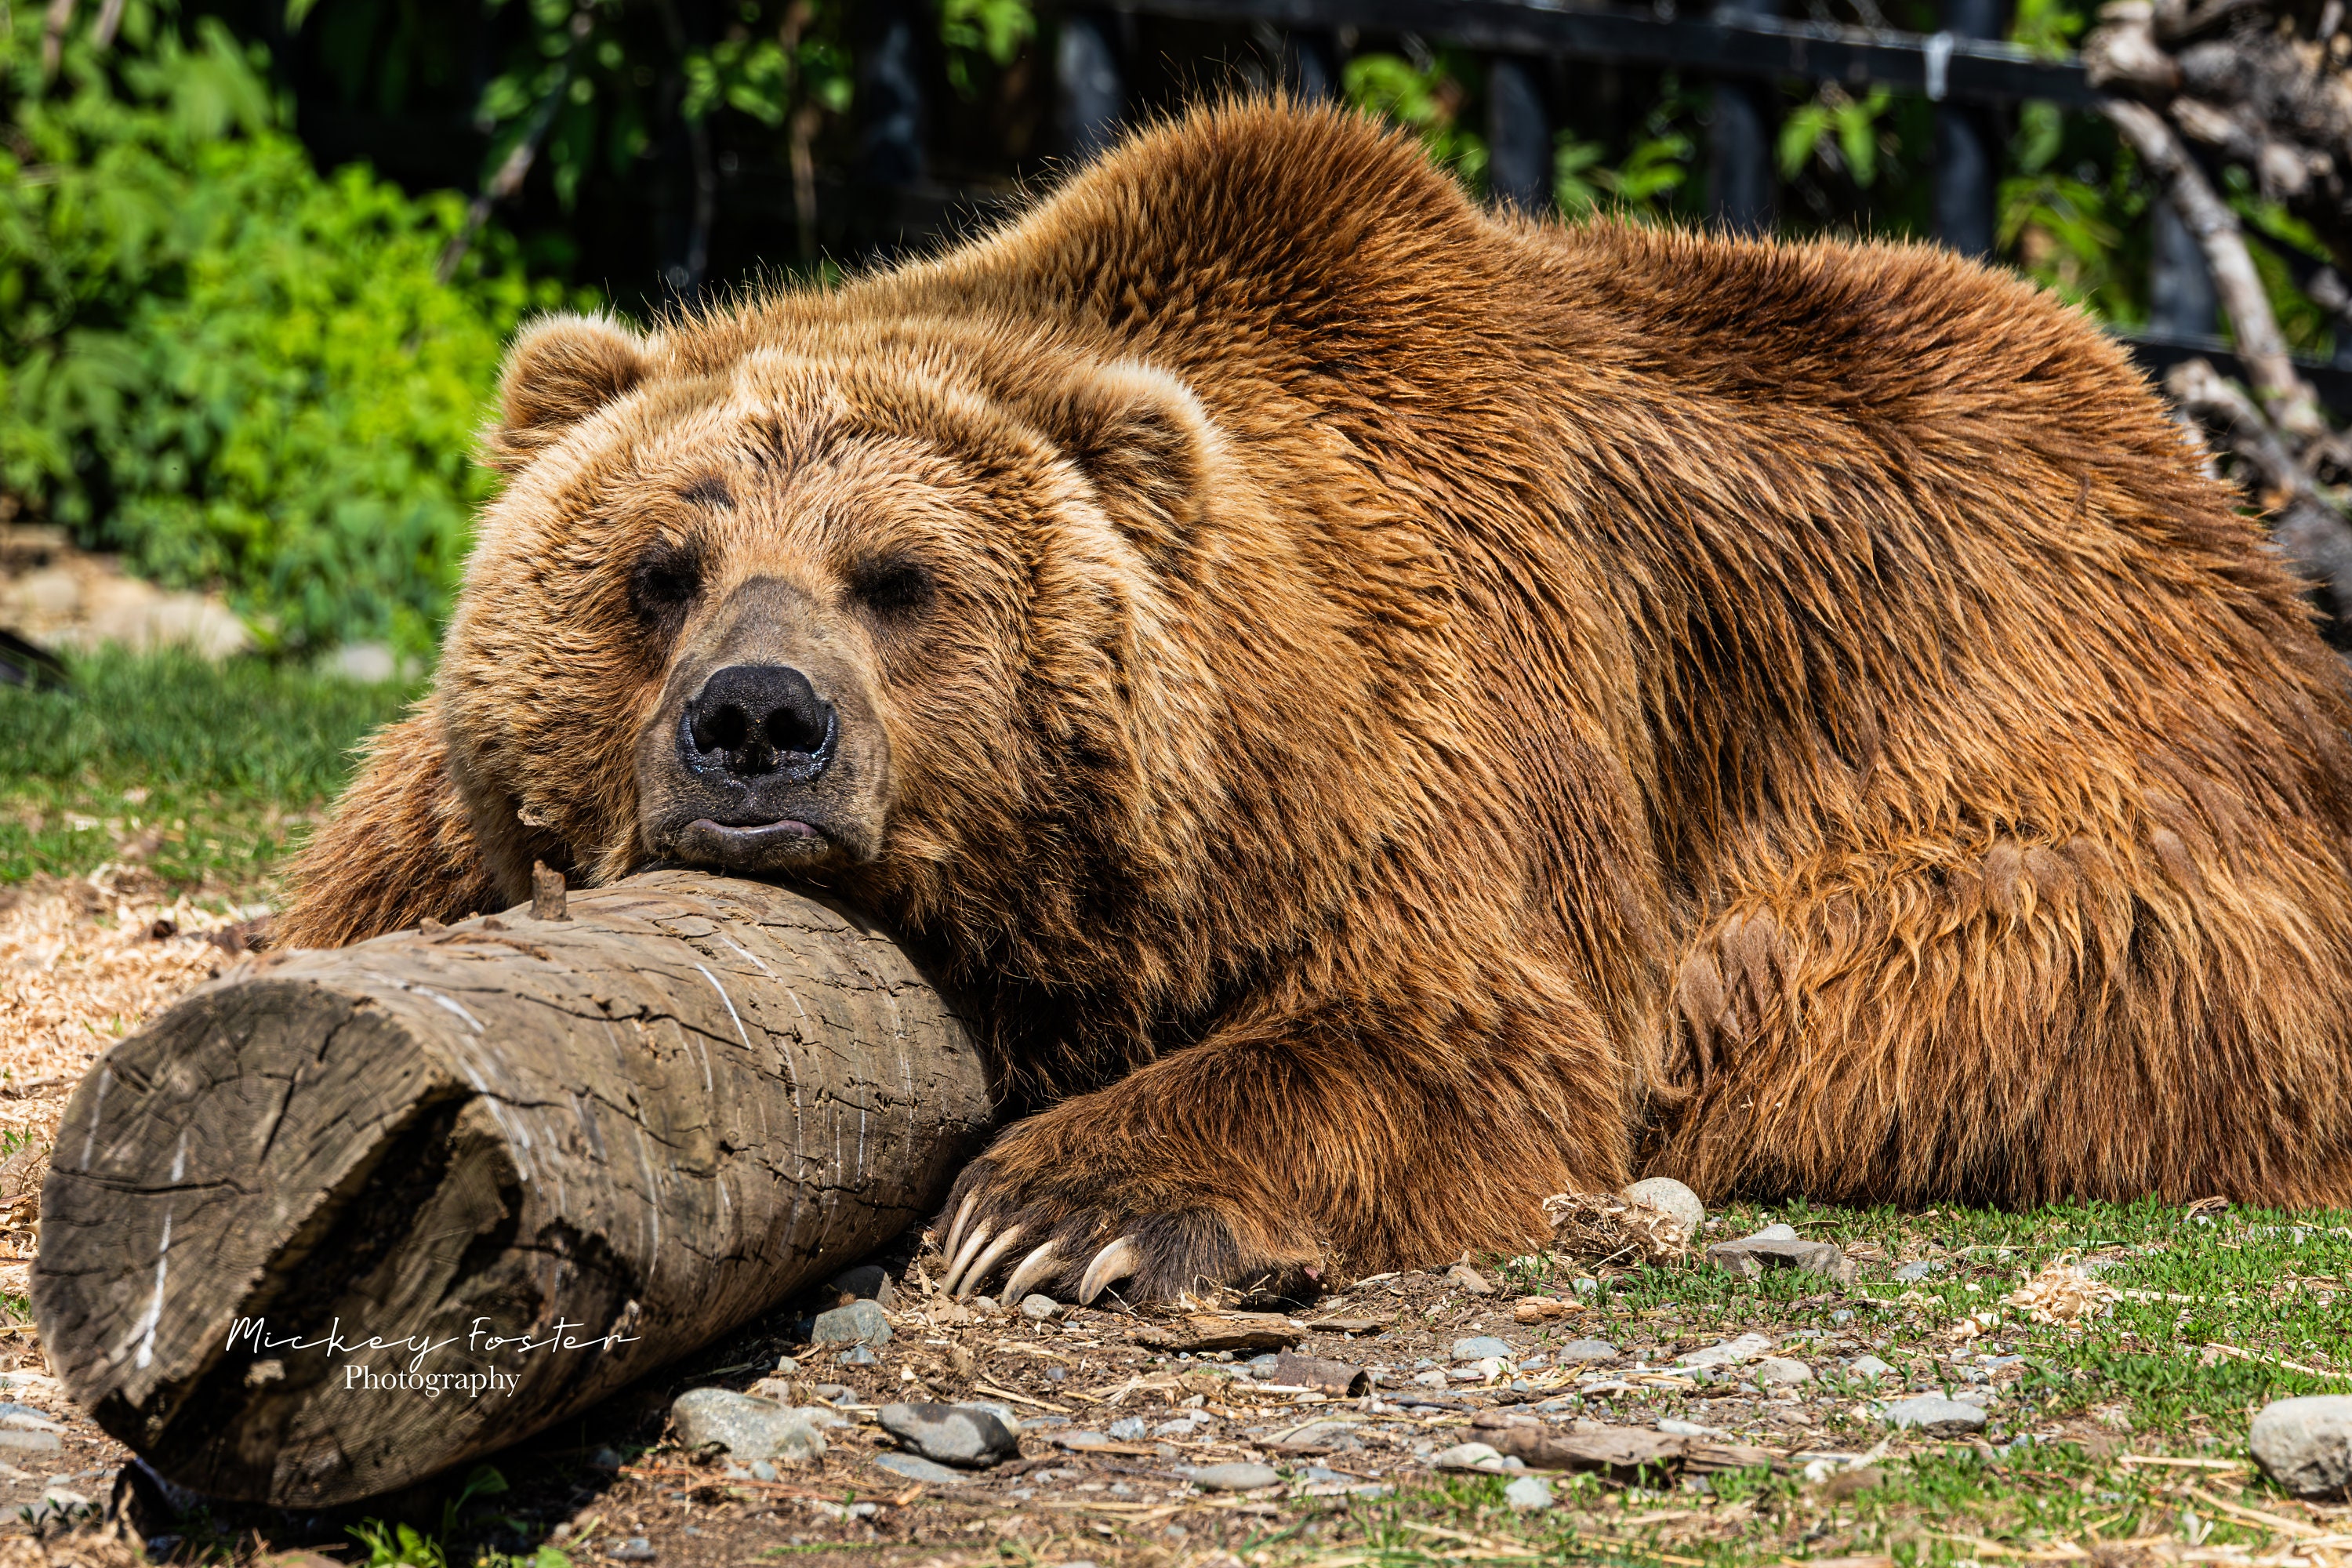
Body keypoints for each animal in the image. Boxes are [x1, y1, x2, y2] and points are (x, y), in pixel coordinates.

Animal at [280, 97, 2352, 1306]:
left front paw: (1062, 1210)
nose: (761, 726)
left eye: (901, 577)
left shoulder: (1455, 720)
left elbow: (1454, 1026)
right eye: (661, 566)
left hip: (2107, 832)